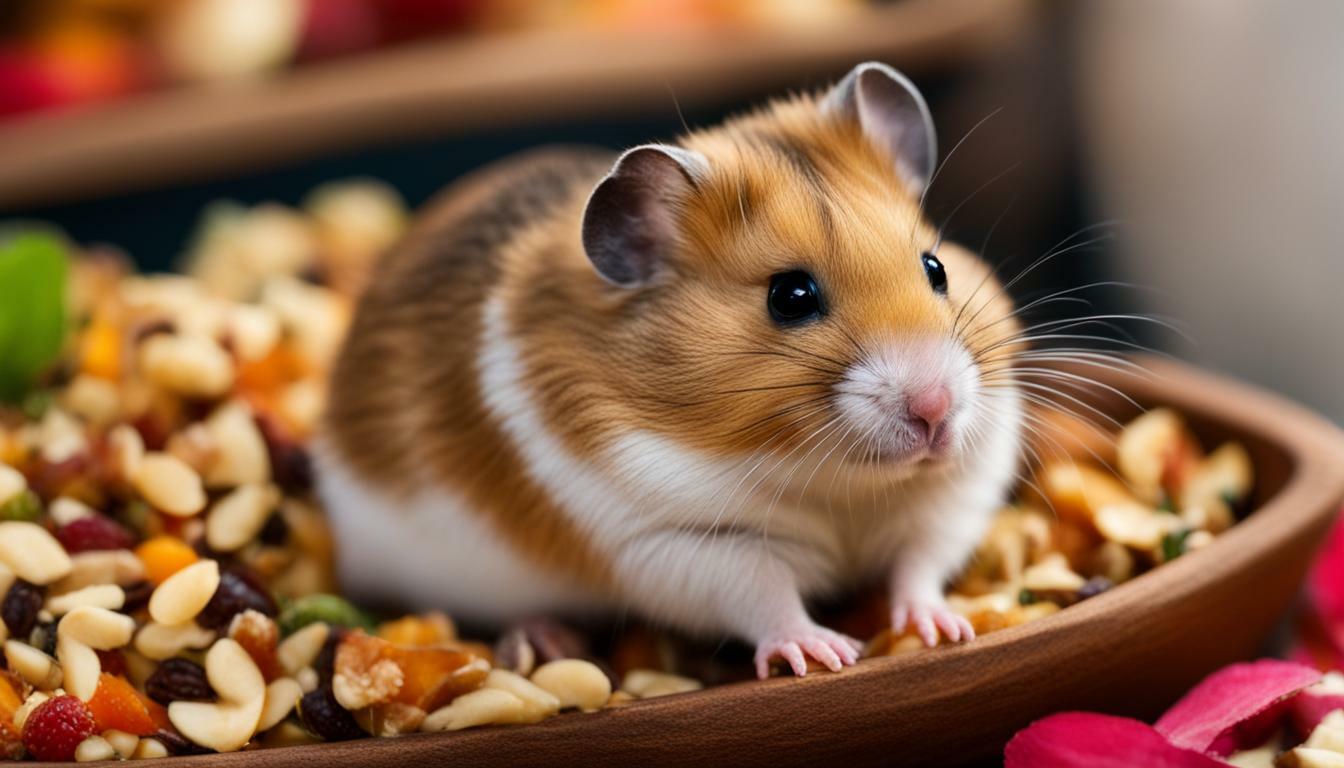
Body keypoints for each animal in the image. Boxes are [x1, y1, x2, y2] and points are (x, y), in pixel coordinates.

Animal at [317, 62, 1024, 679]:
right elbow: (763, 592)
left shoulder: (957, 489)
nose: (935, 411)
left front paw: (944, 628)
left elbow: (920, 562)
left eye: (936, 268)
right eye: (790, 297)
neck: (840, 484)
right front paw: (823, 653)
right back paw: (548, 638)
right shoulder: (678, 543)